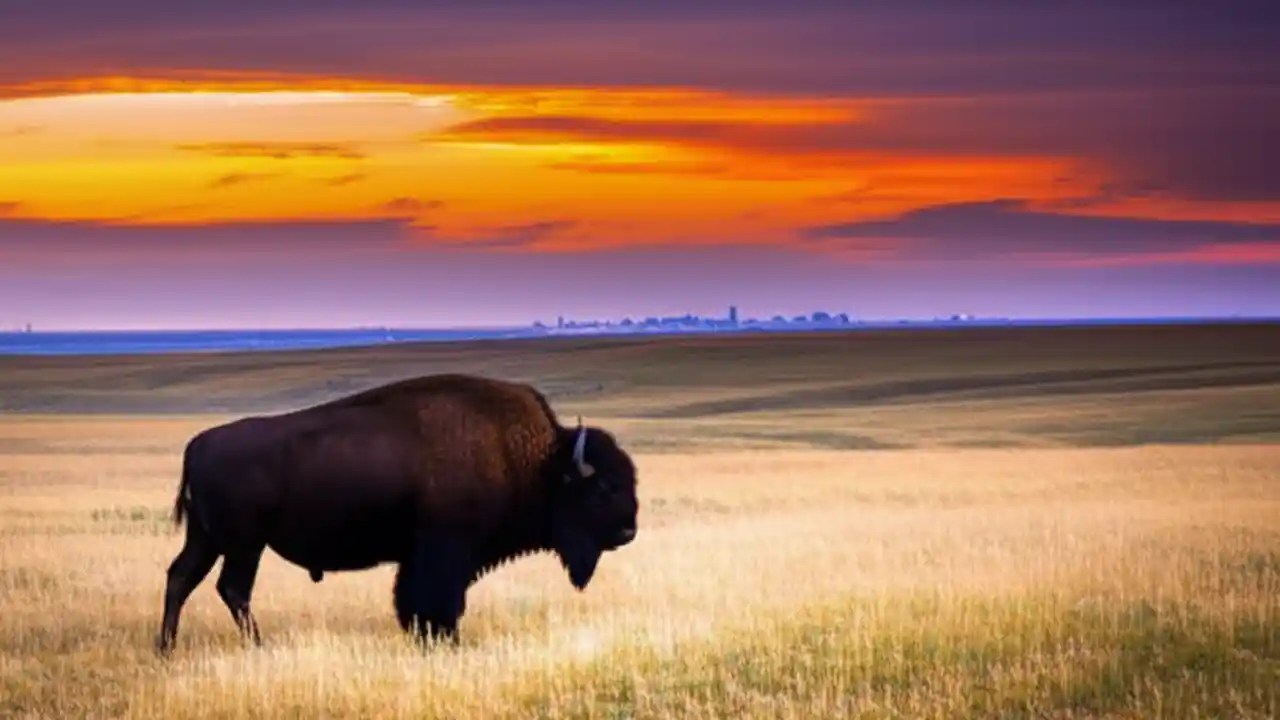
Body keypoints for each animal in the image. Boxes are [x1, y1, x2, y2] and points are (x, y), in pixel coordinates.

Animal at [156, 374, 638, 654]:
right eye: (604, 488)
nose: (628, 531)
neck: (538, 462)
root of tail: (197, 445)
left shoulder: (420, 557)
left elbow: (412, 599)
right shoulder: (445, 552)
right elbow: (436, 600)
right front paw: (445, 640)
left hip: (206, 538)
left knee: (181, 577)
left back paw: (166, 647)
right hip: (244, 544)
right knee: (233, 588)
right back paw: (258, 645)